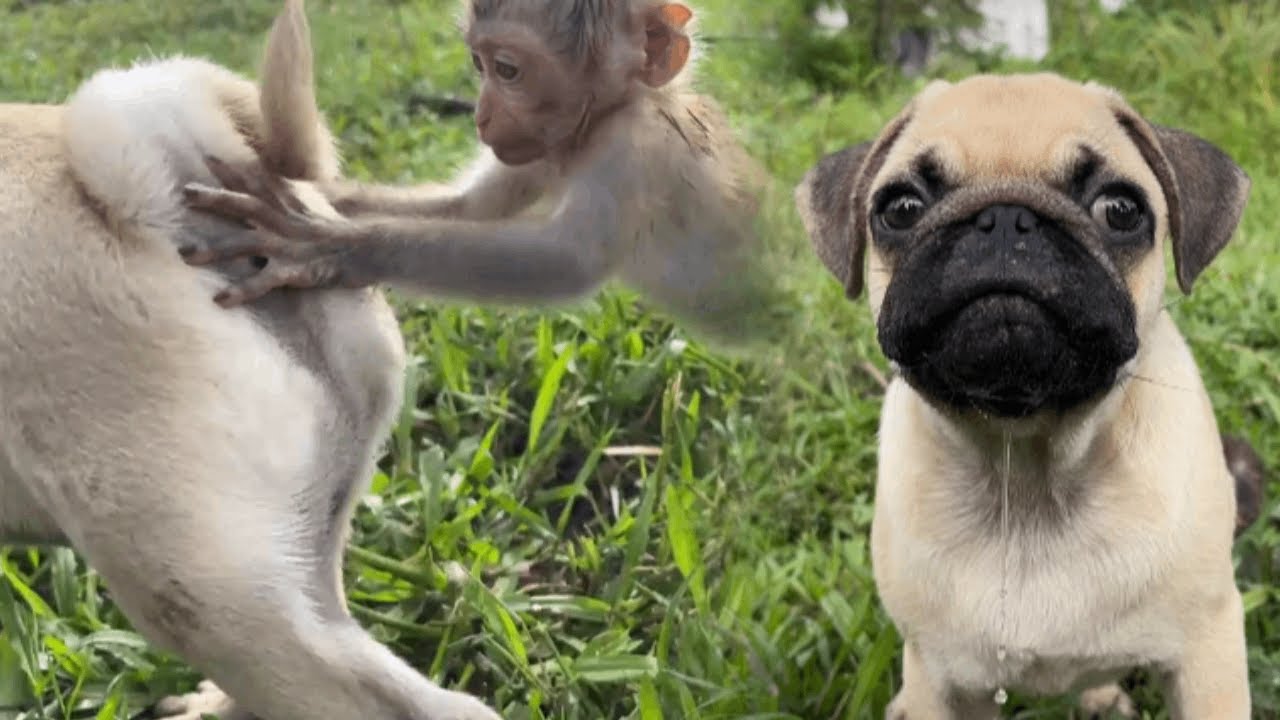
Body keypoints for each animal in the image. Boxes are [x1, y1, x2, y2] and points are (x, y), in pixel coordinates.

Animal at [176, 0, 785, 345]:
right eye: (478, 64)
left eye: (508, 70)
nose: (480, 113)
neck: (610, 113)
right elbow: (468, 208)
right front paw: (307, 194)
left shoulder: (635, 147)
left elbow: (567, 261)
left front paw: (322, 243)